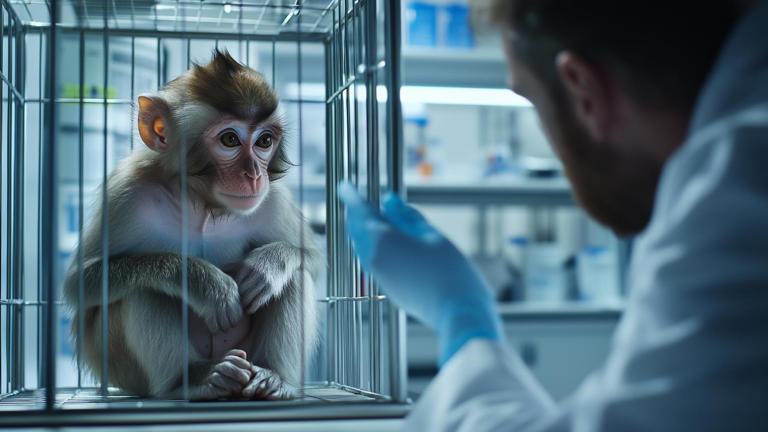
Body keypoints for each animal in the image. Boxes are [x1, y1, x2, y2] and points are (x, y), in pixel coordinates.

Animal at [63, 50, 321, 401]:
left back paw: (273, 377)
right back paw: (195, 378)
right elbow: (81, 282)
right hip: (123, 370)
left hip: (244, 352)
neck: (202, 202)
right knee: (143, 286)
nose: (255, 175)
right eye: (230, 139)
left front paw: (267, 265)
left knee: (295, 278)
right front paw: (204, 283)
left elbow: (314, 261)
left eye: (265, 140)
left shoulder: (274, 197)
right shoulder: (124, 194)